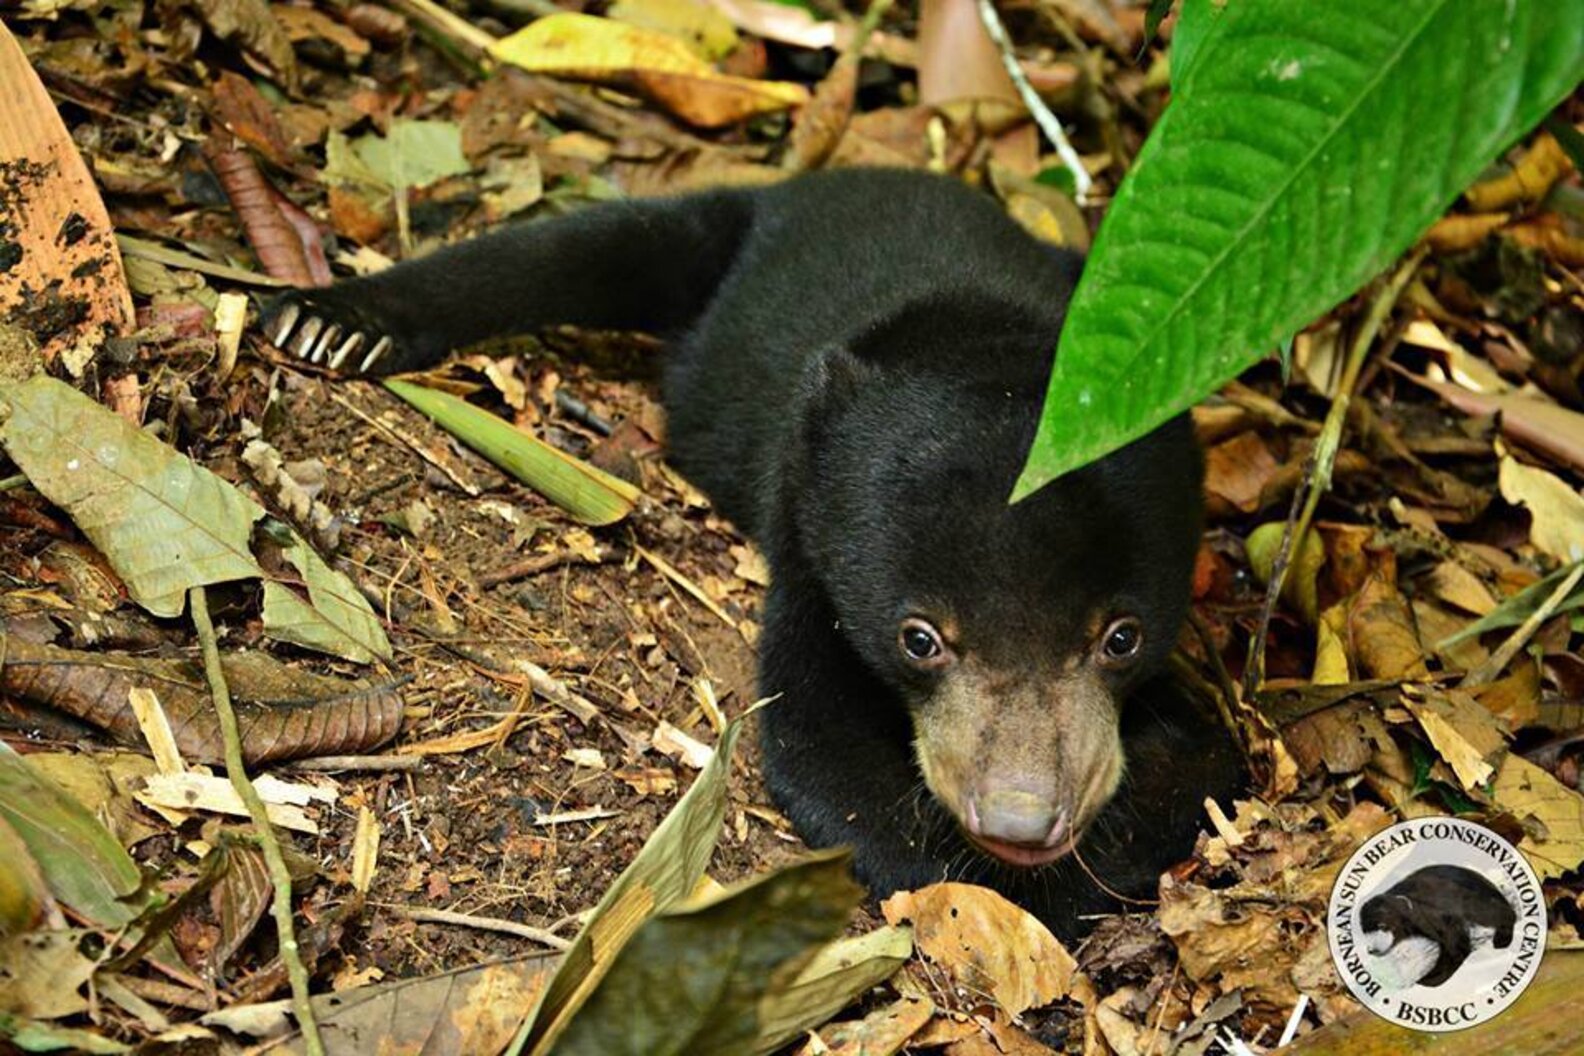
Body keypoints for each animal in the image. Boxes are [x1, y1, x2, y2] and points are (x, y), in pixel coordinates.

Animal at [266, 168, 1245, 938]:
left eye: (1121, 636)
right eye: (919, 638)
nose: (1021, 818)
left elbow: (1208, 764)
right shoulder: (806, 546)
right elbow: (828, 760)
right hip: (716, 238)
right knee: (595, 245)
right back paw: (331, 322)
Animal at [1360, 865, 1518, 988]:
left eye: (1383, 926)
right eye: (1366, 932)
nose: (1372, 949)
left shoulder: (1434, 910)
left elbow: (1455, 942)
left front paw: (1430, 978)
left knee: (1485, 911)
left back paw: (1503, 937)